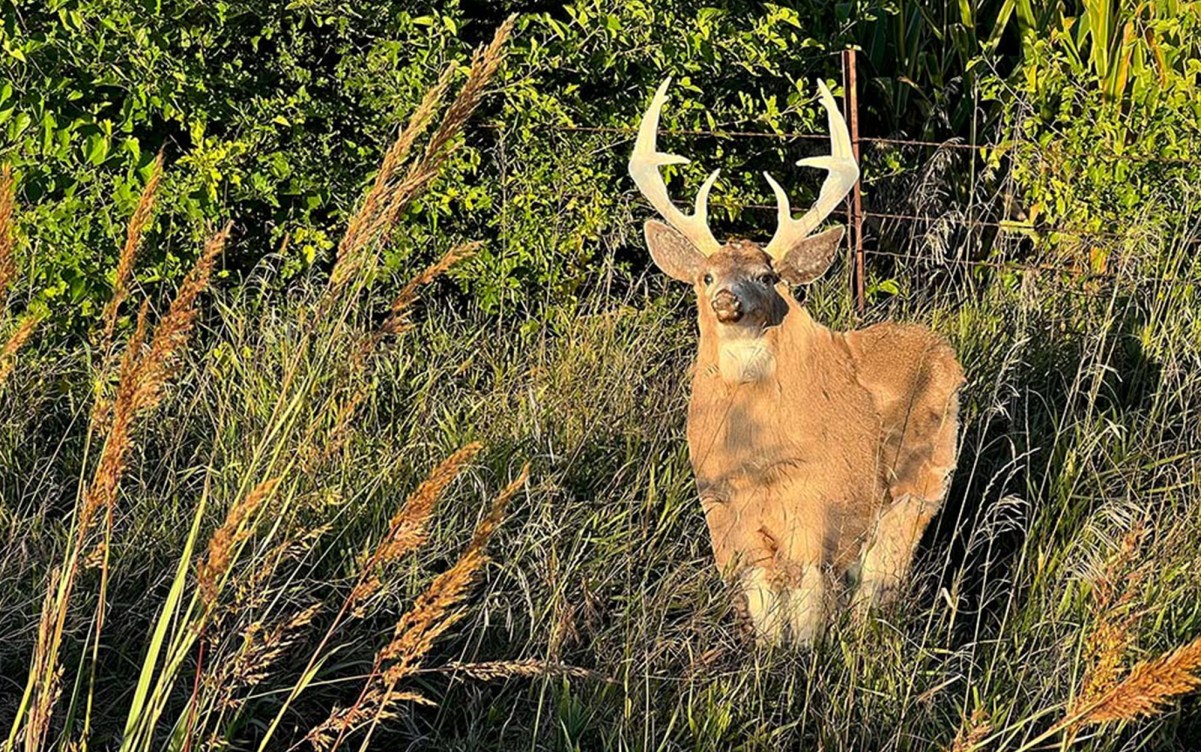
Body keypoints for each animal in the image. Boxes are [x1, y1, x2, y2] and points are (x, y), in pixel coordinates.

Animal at [628, 78, 964, 645]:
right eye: (706, 276)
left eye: (767, 276)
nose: (727, 300)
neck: (759, 456)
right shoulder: (723, 510)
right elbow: (763, 605)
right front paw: (767, 658)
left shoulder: (822, 505)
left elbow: (808, 610)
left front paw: (803, 660)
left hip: (921, 486)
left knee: (879, 584)